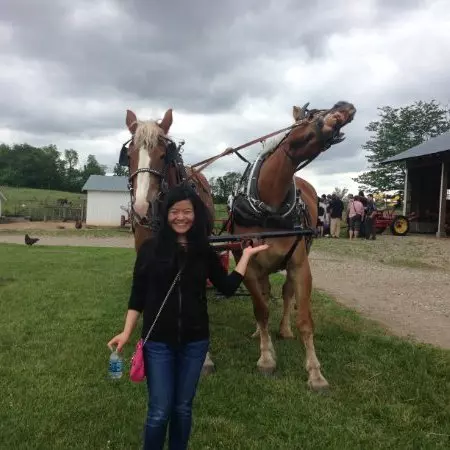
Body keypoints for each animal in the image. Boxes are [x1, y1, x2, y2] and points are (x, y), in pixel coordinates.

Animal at [225, 100, 358, 388]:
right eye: (310, 114)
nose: (345, 106)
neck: (268, 206)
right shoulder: (248, 266)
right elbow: (261, 310)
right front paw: (266, 358)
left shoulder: (300, 265)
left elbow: (305, 319)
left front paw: (315, 372)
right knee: (265, 296)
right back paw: (260, 334)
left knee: (286, 293)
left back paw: (284, 329)